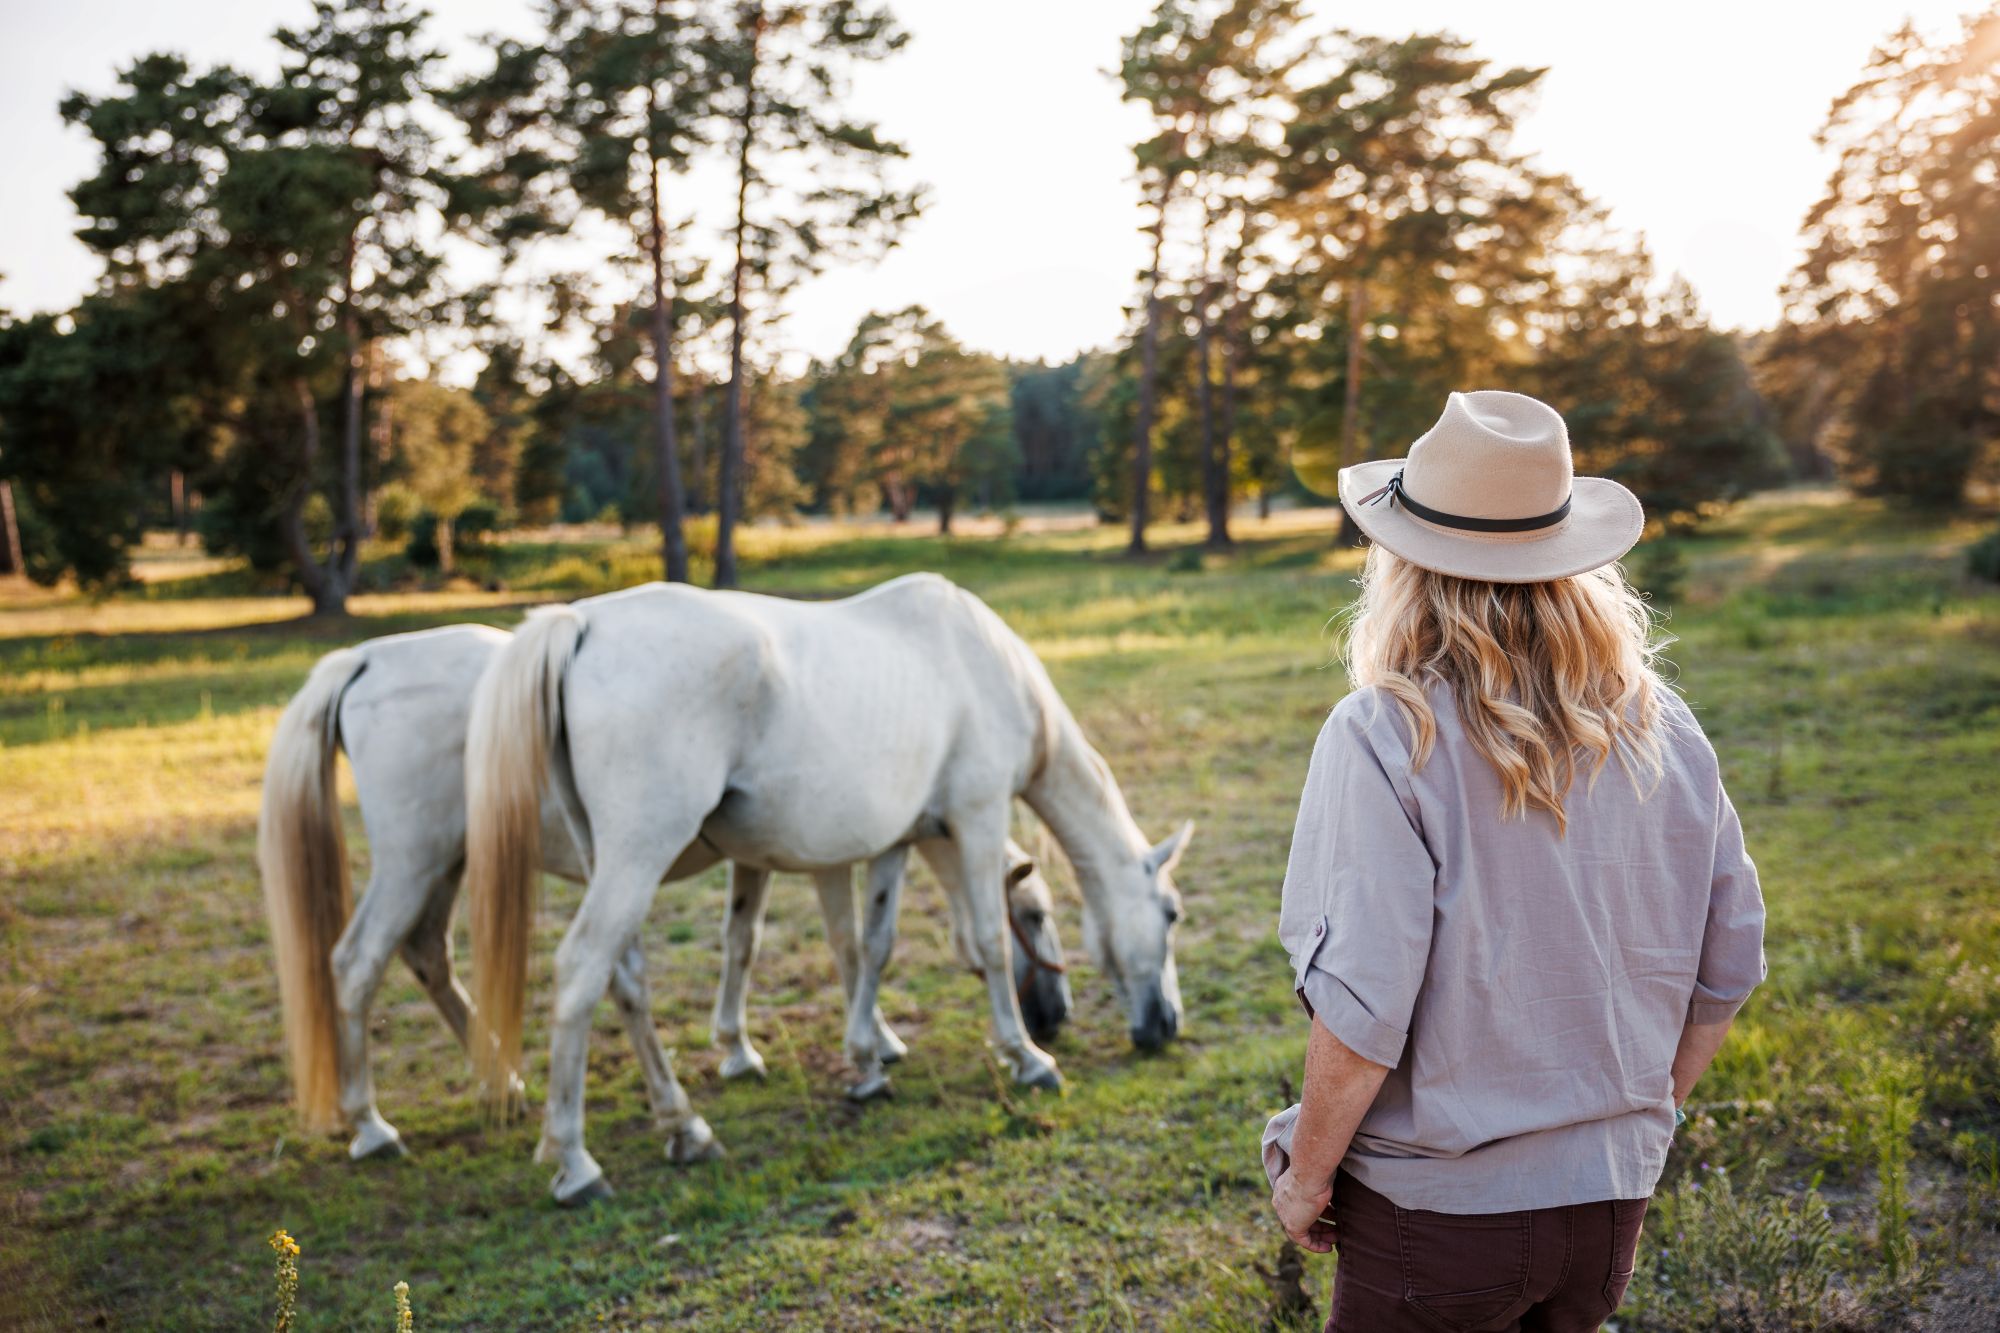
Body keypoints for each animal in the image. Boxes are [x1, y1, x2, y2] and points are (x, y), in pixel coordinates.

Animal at [258, 622, 1072, 1163]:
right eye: (1036, 916)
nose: (1057, 1017)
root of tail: (364, 657)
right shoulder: (835, 853)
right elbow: (848, 945)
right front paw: (879, 1045)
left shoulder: (768, 854)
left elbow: (750, 938)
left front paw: (750, 1047)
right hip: (418, 859)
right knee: (358, 963)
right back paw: (378, 1125)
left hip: (448, 862)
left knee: (429, 954)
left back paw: (506, 1084)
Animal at [464, 573, 1191, 1203]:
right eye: (1172, 913)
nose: (1166, 1025)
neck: (983, 662)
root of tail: (582, 623)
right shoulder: (980, 816)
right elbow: (987, 941)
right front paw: (1028, 1057)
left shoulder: (898, 840)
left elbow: (871, 946)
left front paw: (868, 1063)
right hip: (635, 859)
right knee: (580, 971)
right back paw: (575, 1161)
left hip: (612, 863)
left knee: (628, 982)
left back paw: (684, 1127)